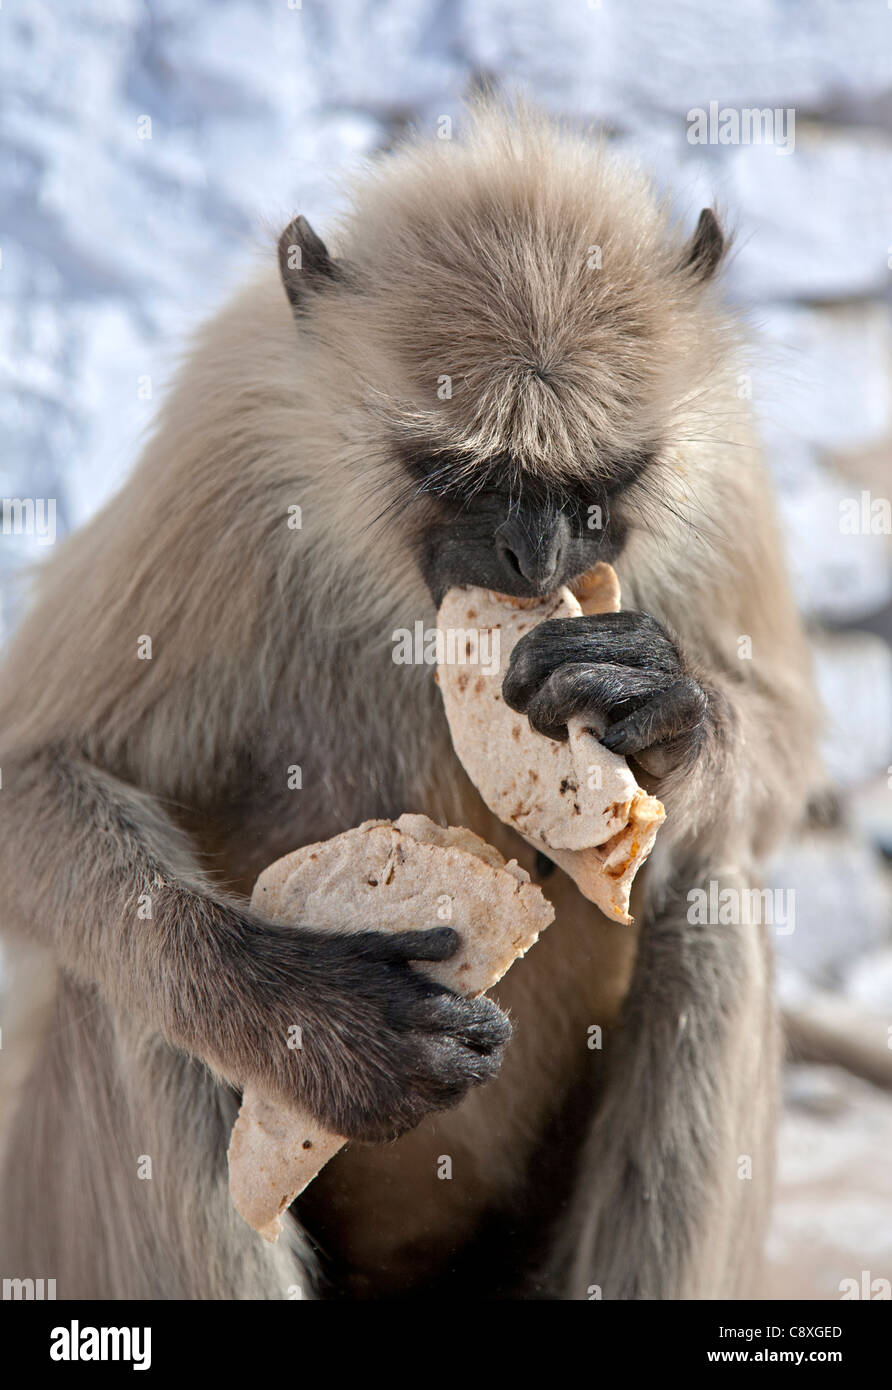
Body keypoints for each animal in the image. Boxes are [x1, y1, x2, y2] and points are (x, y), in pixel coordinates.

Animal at [0, 103, 817, 1300]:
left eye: (595, 489)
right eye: (460, 477)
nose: (534, 557)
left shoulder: (720, 456)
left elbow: (781, 753)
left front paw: (668, 722)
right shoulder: (223, 454)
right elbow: (30, 778)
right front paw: (314, 1026)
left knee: (716, 889)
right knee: (127, 994)